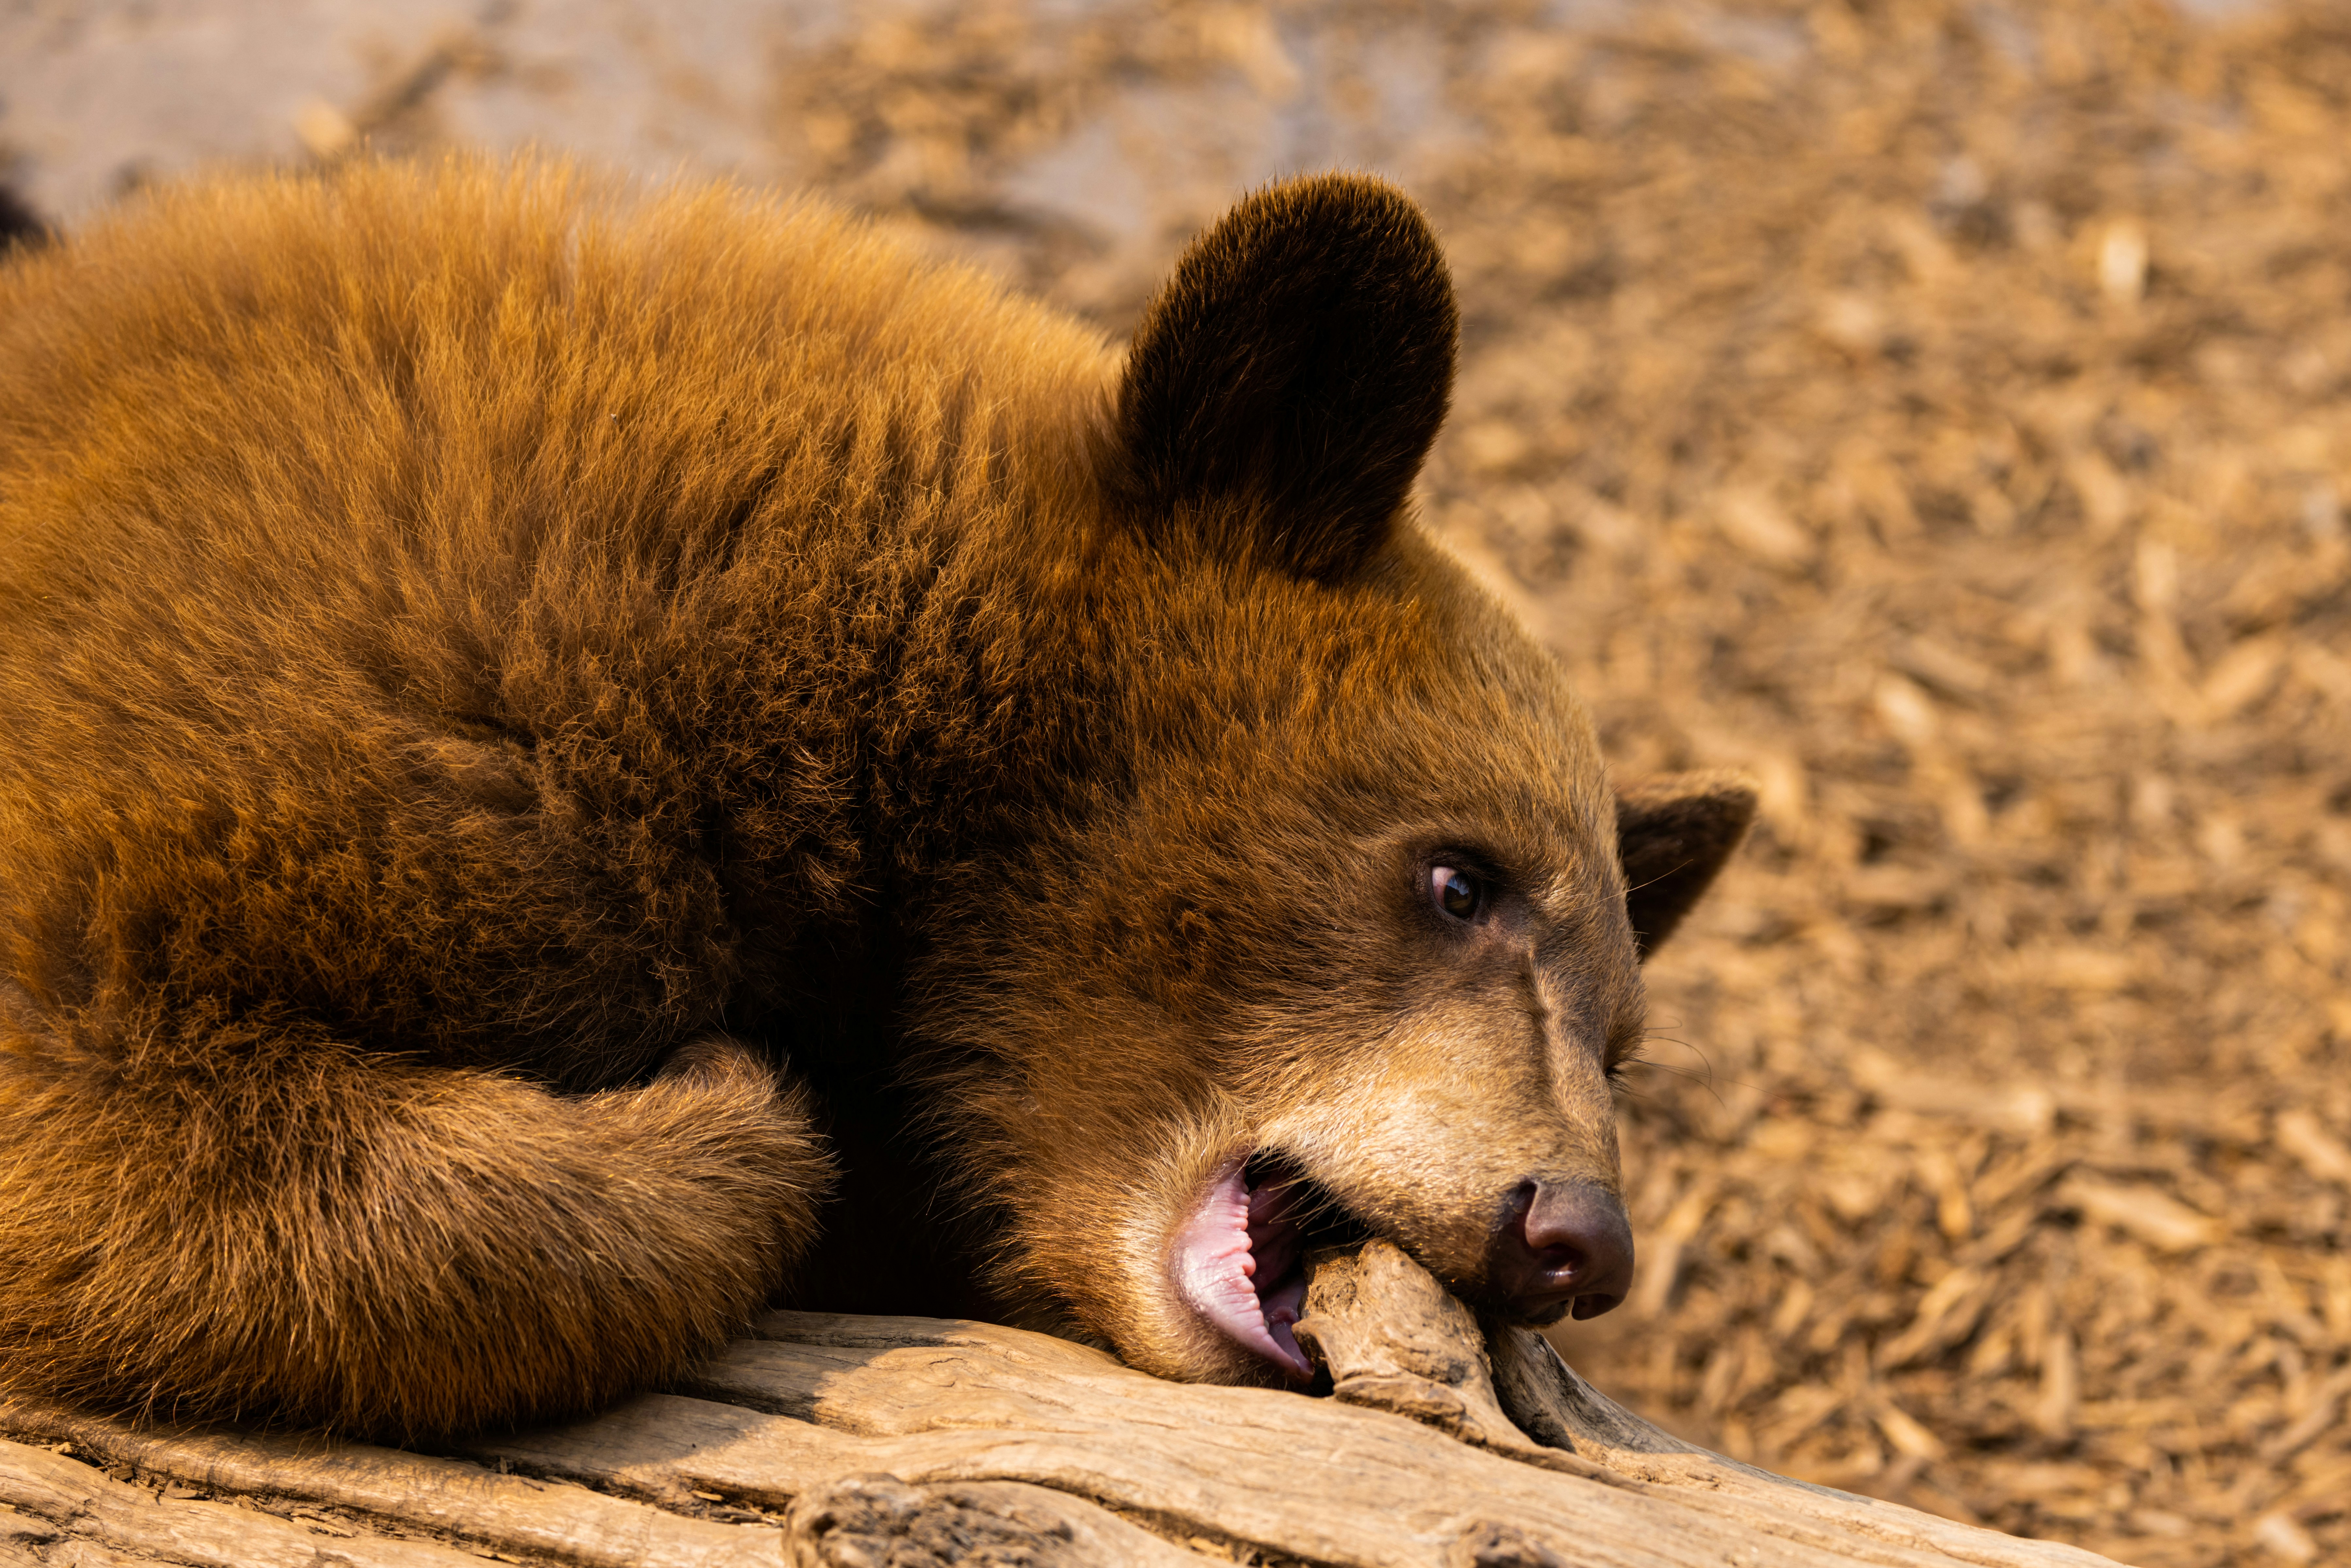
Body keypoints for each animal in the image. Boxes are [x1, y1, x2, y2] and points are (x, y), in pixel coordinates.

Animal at [0, 157, 1756, 1442]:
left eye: (1621, 1040)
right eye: (1458, 879)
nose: (1573, 1236)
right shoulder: (308, 690)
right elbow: (116, 1089)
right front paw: (725, 1108)